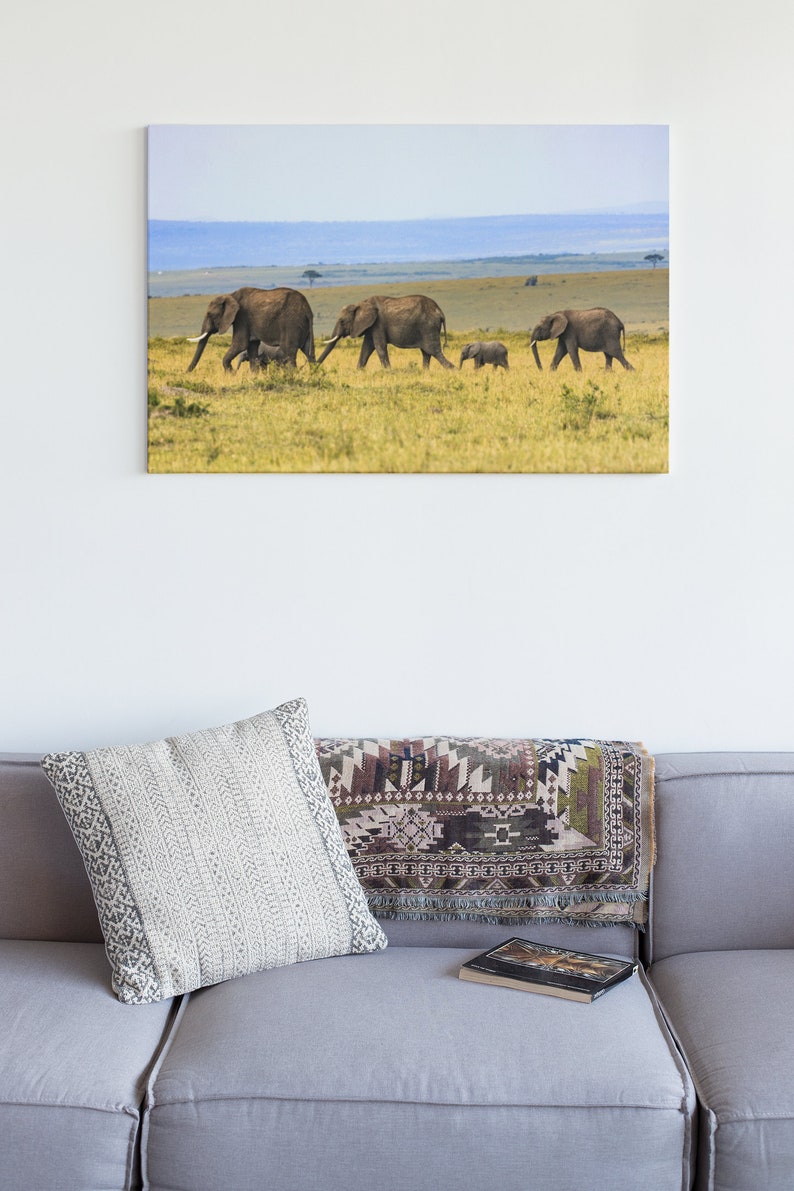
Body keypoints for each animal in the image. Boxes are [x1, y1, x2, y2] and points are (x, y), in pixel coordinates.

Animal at [316, 295, 455, 370]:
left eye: (342, 321)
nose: (313, 367)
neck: (360, 303)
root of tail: (440, 312)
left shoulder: (378, 323)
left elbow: (379, 347)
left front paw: (389, 371)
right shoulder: (371, 326)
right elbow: (366, 348)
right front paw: (358, 371)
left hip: (428, 327)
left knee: (434, 351)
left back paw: (454, 370)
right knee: (426, 353)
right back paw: (425, 372)